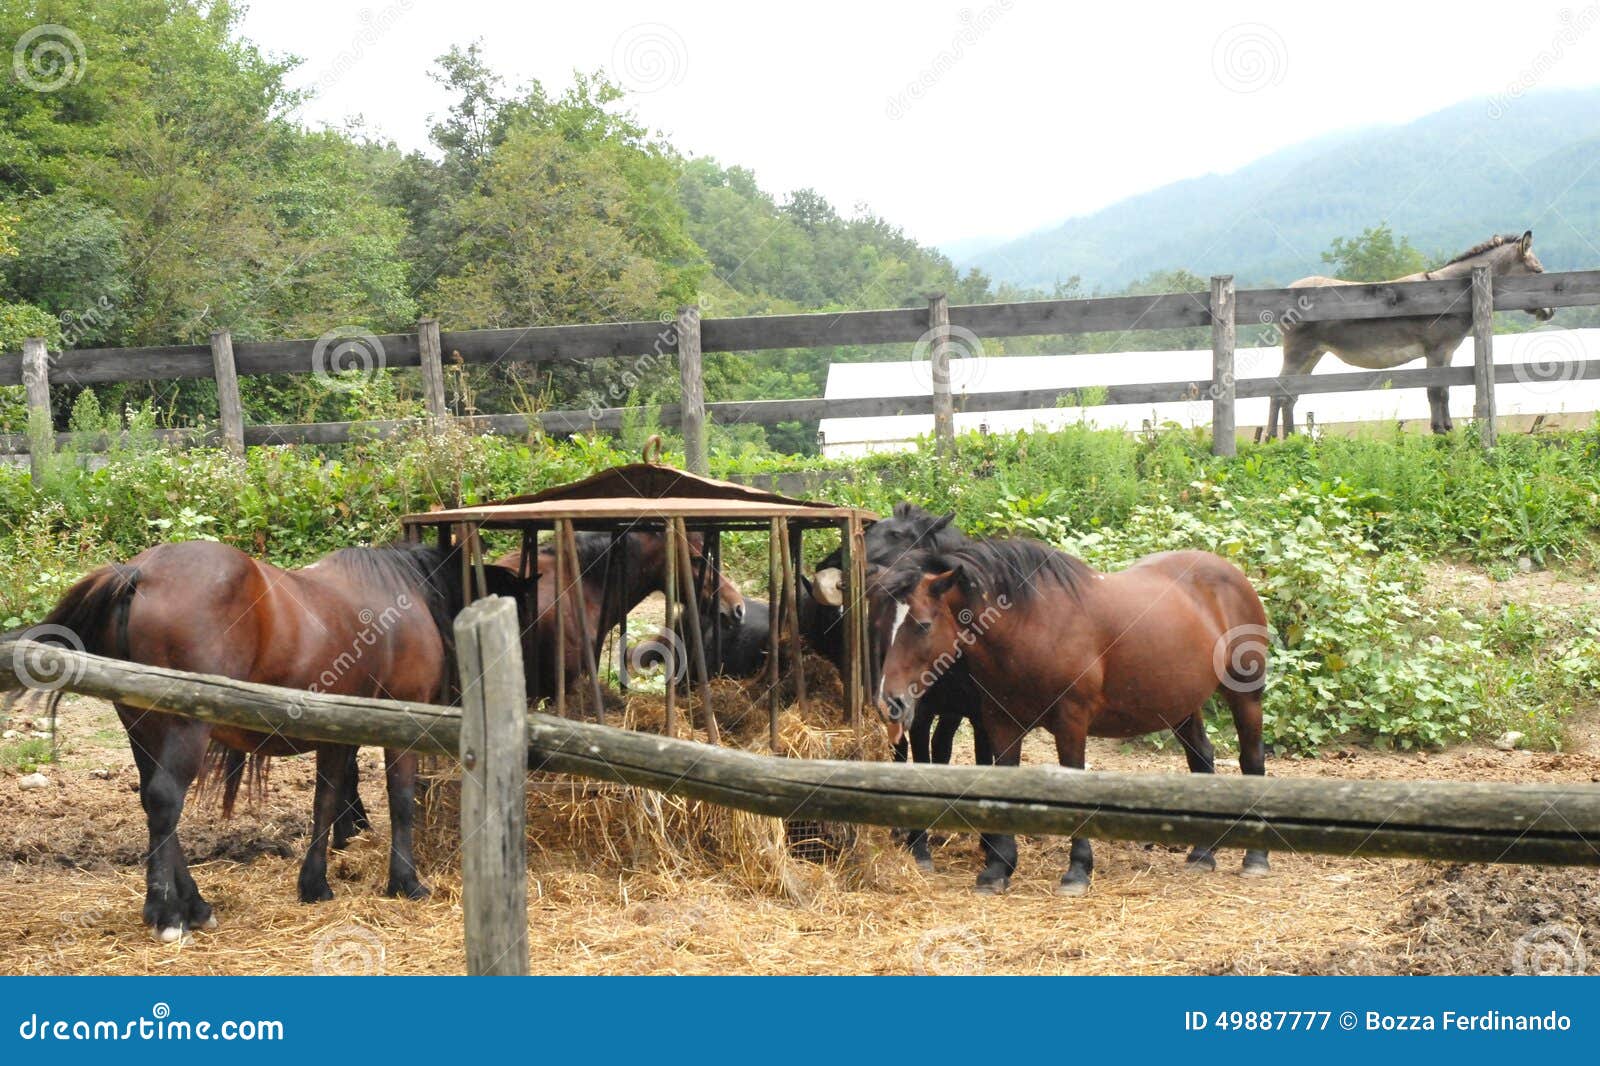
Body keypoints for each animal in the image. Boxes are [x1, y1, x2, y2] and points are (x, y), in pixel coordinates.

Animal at [17, 540, 523, 941]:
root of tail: (139, 573)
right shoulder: (400, 723)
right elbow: (398, 802)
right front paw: (404, 882)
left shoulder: (338, 737)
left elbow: (327, 800)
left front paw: (315, 884)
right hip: (184, 729)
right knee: (164, 802)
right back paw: (168, 914)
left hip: (143, 729)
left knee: (154, 805)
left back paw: (195, 906)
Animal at [877, 538, 1271, 896]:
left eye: (923, 625)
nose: (891, 701)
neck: (1034, 622)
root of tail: (1232, 574)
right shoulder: (1001, 722)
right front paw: (997, 869)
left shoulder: (1071, 721)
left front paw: (1077, 870)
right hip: (1180, 704)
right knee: (1202, 760)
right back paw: (1203, 853)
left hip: (1245, 696)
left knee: (1251, 760)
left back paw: (1256, 858)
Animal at [1268, 231, 1556, 438]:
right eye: (1538, 272)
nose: (1551, 311)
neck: (1451, 293)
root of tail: (1287, 291)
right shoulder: (1437, 350)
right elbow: (1435, 391)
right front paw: (1439, 432)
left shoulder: (1447, 352)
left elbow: (1445, 390)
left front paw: (1448, 429)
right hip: (1298, 351)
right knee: (1278, 391)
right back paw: (1273, 439)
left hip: (1313, 354)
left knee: (1290, 395)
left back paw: (1291, 437)